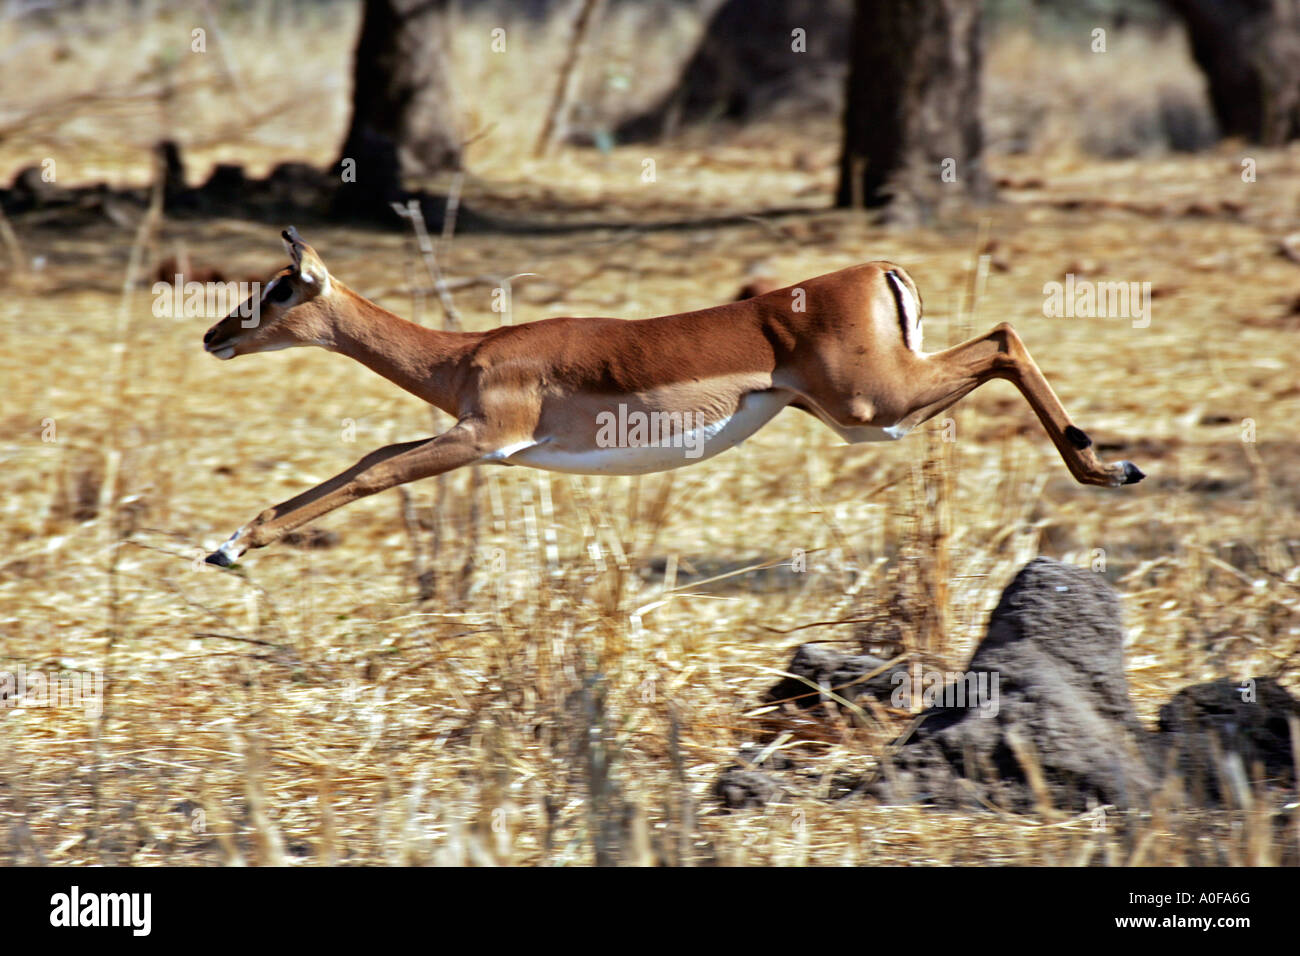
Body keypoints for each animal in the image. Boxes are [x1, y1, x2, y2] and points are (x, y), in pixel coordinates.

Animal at [200, 228, 1143, 566]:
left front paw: (234, 546)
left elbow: (371, 471)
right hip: (874, 411)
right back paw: (1107, 467)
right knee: (1002, 339)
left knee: (1005, 337)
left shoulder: (484, 438)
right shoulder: (476, 439)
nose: (214, 336)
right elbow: (369, 456)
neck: (467, 353)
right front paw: (228, 542)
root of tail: (878, 268)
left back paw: (1108, 468)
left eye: (279, 288)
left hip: (871, 410)